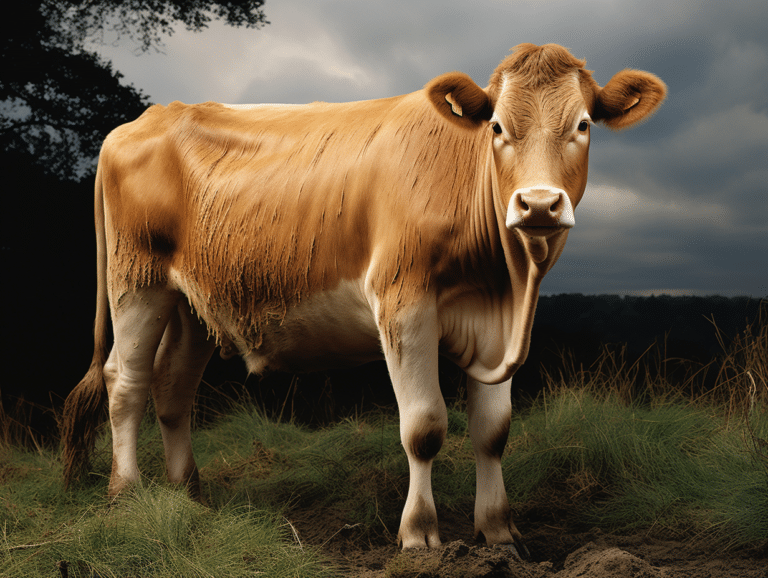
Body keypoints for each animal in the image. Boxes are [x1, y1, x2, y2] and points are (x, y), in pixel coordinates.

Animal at [62, 43, 665, 552]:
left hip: (192, 300)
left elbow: (493, 433)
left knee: (171, 387)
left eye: (582, 124)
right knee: (125, 382)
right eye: (496, 126)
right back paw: (125, 494)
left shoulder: (497, 324)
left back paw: (188, 494)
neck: (506, 285)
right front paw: (419, 535)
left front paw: (498, 533)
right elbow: (424, 427)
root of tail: (143, 120)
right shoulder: (403, 303)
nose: (538, 204)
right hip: (136, 280)